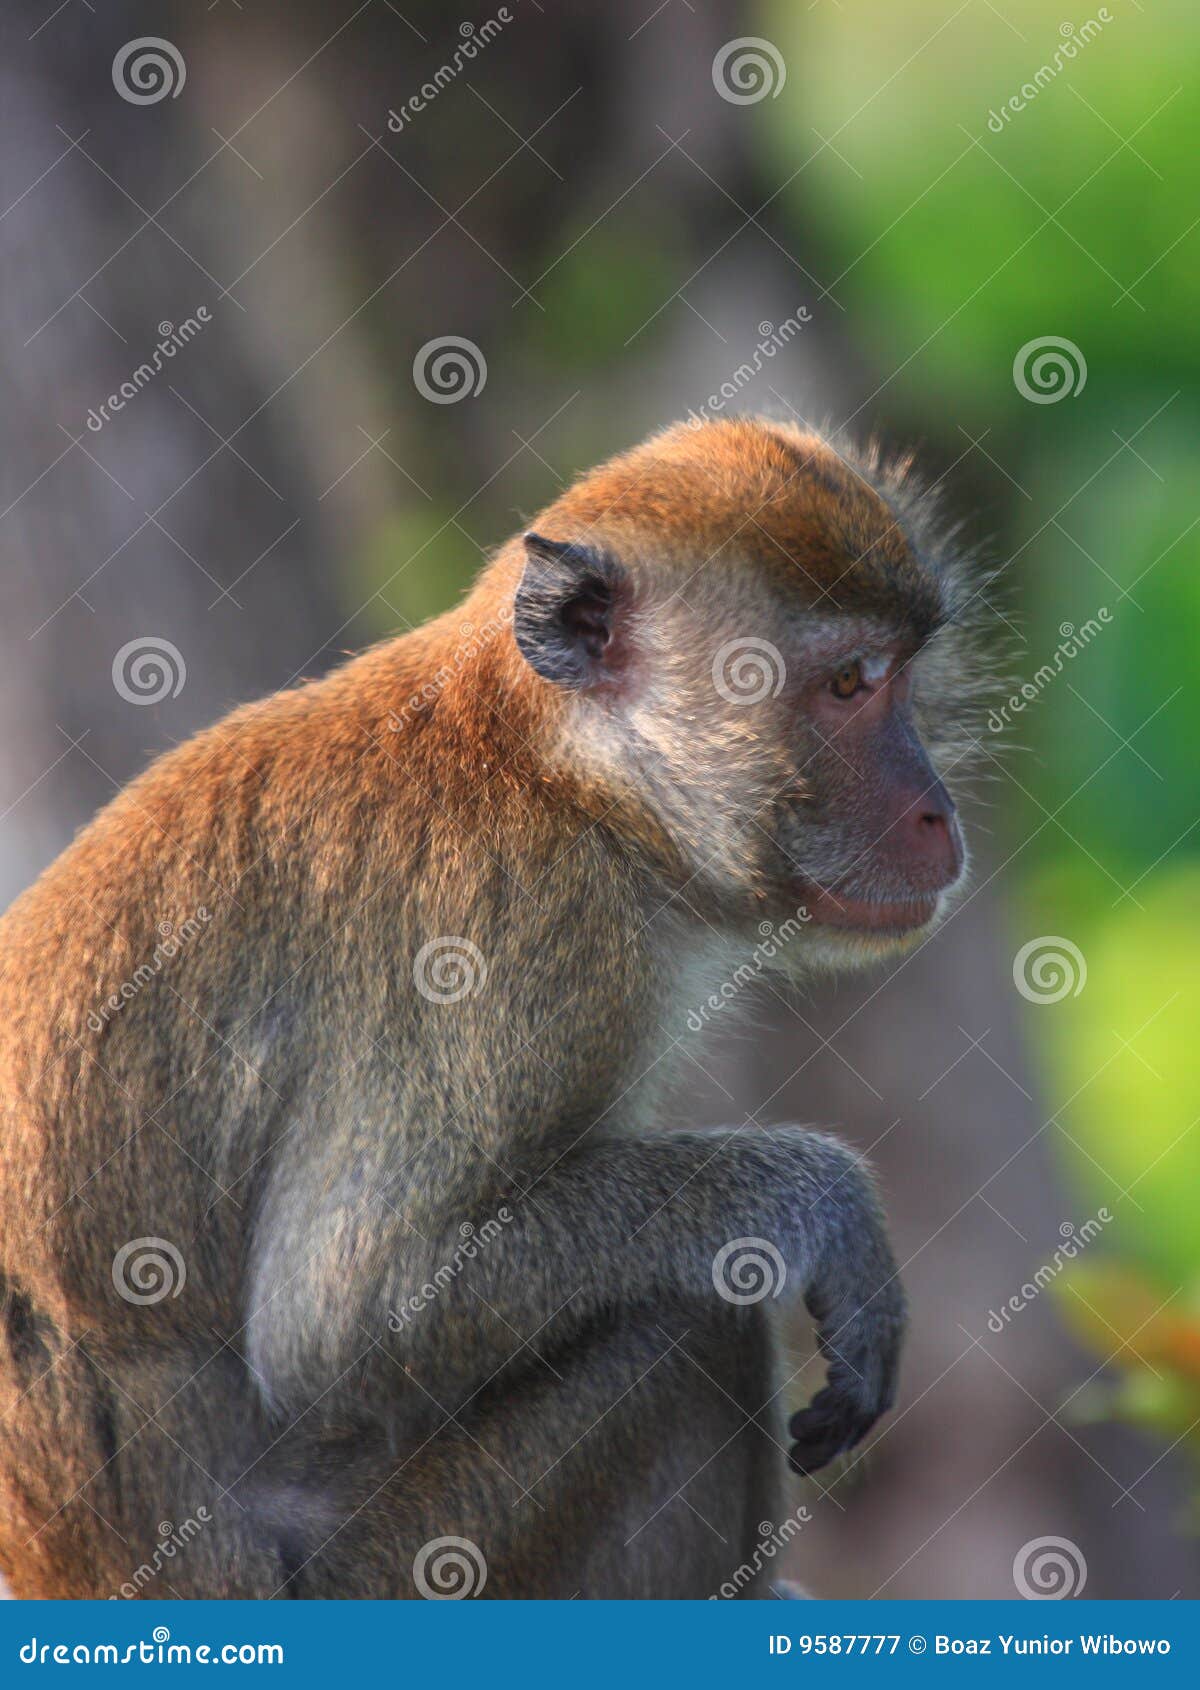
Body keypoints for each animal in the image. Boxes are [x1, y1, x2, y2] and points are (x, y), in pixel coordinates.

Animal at [0, 414, 988, 1600]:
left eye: (904, 677)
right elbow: (343, 1319)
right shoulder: (516, 939)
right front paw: (822, 1203)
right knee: (683, 1333)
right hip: (390, 1578)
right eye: (849, 682)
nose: (936, 813)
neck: (558, 773)